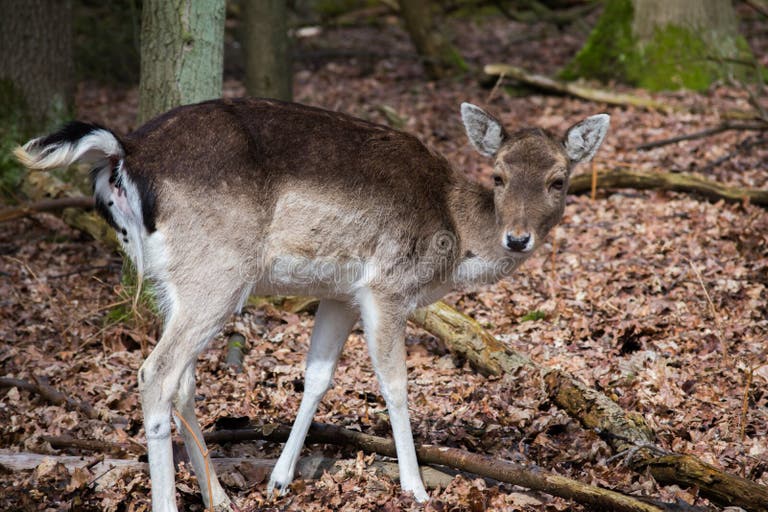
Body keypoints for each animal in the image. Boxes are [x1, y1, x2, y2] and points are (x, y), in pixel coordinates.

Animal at [15, 98, 608, 512]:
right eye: (499, 176)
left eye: (559, 180)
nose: (517, 238)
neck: (455, 239)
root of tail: (122, 153)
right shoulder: (386, 285)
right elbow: (395, 385)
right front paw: (416, 488)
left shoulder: (340, 294)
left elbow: (317, 377)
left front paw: (280, 480)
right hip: (218, 270)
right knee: (155, 373)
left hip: (170, 279)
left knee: (182, 379)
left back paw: (219, 497)